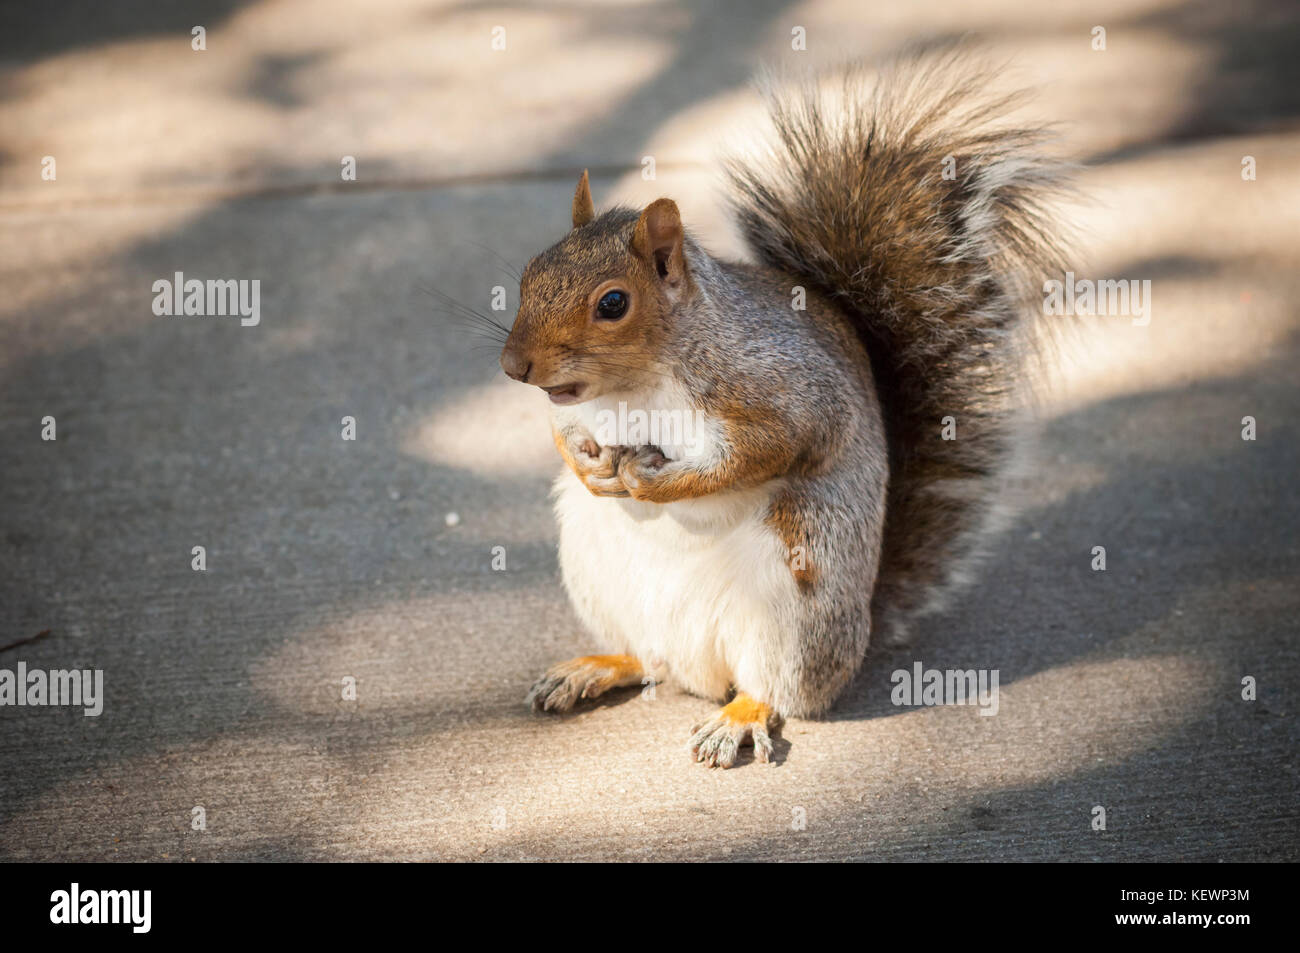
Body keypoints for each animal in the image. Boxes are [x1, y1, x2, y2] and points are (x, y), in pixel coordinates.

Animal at [499, 53, 1069, 767]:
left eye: (612, 303)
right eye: (529, 272)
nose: (513, 366)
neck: (637, 384)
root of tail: (701, 672)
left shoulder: (782, 391)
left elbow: (767, 449)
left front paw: (655, 481)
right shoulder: (574, 409)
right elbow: (561, 430)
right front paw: (591, 467)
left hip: (799, 587)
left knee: (777, 687)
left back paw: (738, 716)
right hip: (596, 568)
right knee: (647, 661)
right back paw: (597, 666)